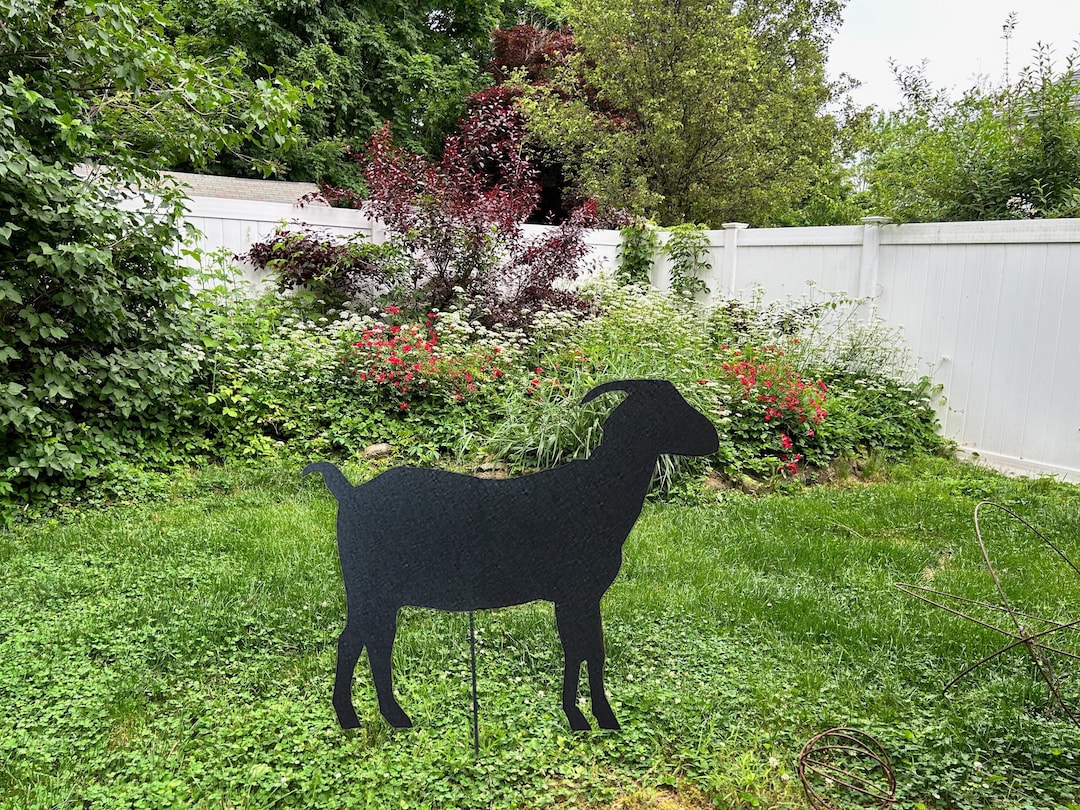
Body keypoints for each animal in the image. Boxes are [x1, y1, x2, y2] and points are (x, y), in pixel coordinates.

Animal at [304, 378, 719, 731]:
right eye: (667, 409)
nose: (713, 438)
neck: (599, 490)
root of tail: (350, 493)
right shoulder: (574, 595)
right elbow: (579, 652)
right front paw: (581, 718)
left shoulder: (584, 597)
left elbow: (591, 651)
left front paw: (599, 718)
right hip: (368, 588)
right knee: (353, 641)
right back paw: (351, 717)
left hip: (379, 595)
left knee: (375, 642)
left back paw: (392, 715)